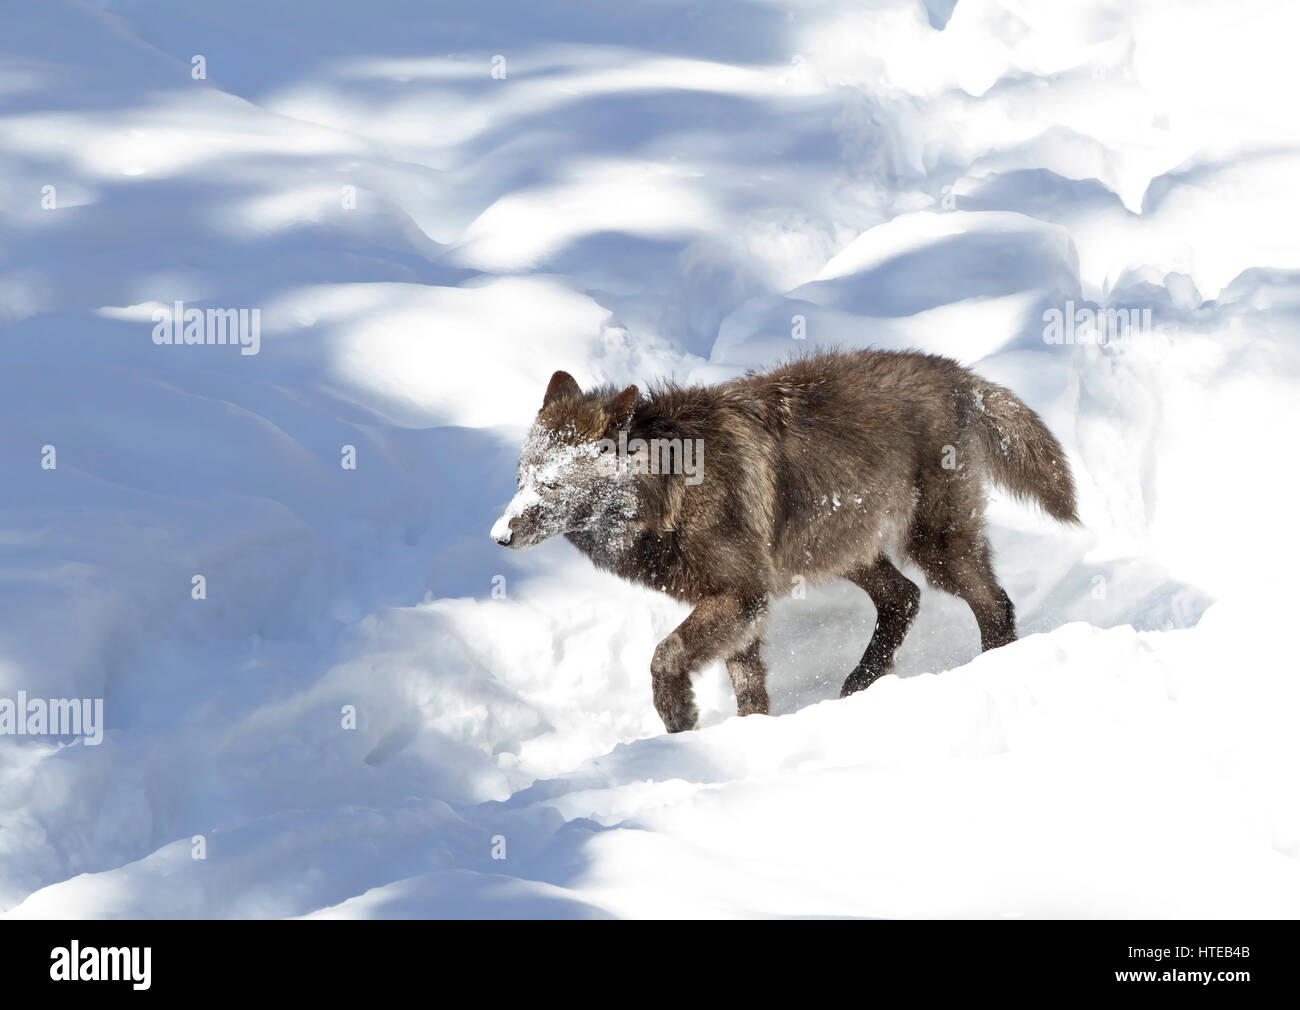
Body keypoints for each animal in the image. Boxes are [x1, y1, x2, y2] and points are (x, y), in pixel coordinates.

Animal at [491, 348, 1078, 732]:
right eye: (520, 480)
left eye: (551, 485)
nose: (499, 536)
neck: (671, 486)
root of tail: (956, 375)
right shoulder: (743, 606)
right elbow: (749, 688)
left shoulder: (740, 595)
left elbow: (664, 655)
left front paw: (679, 717)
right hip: (835, 549)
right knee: (904, 598)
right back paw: (858, 685)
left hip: (931, 547)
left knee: (994, 605)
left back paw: (992, 672)